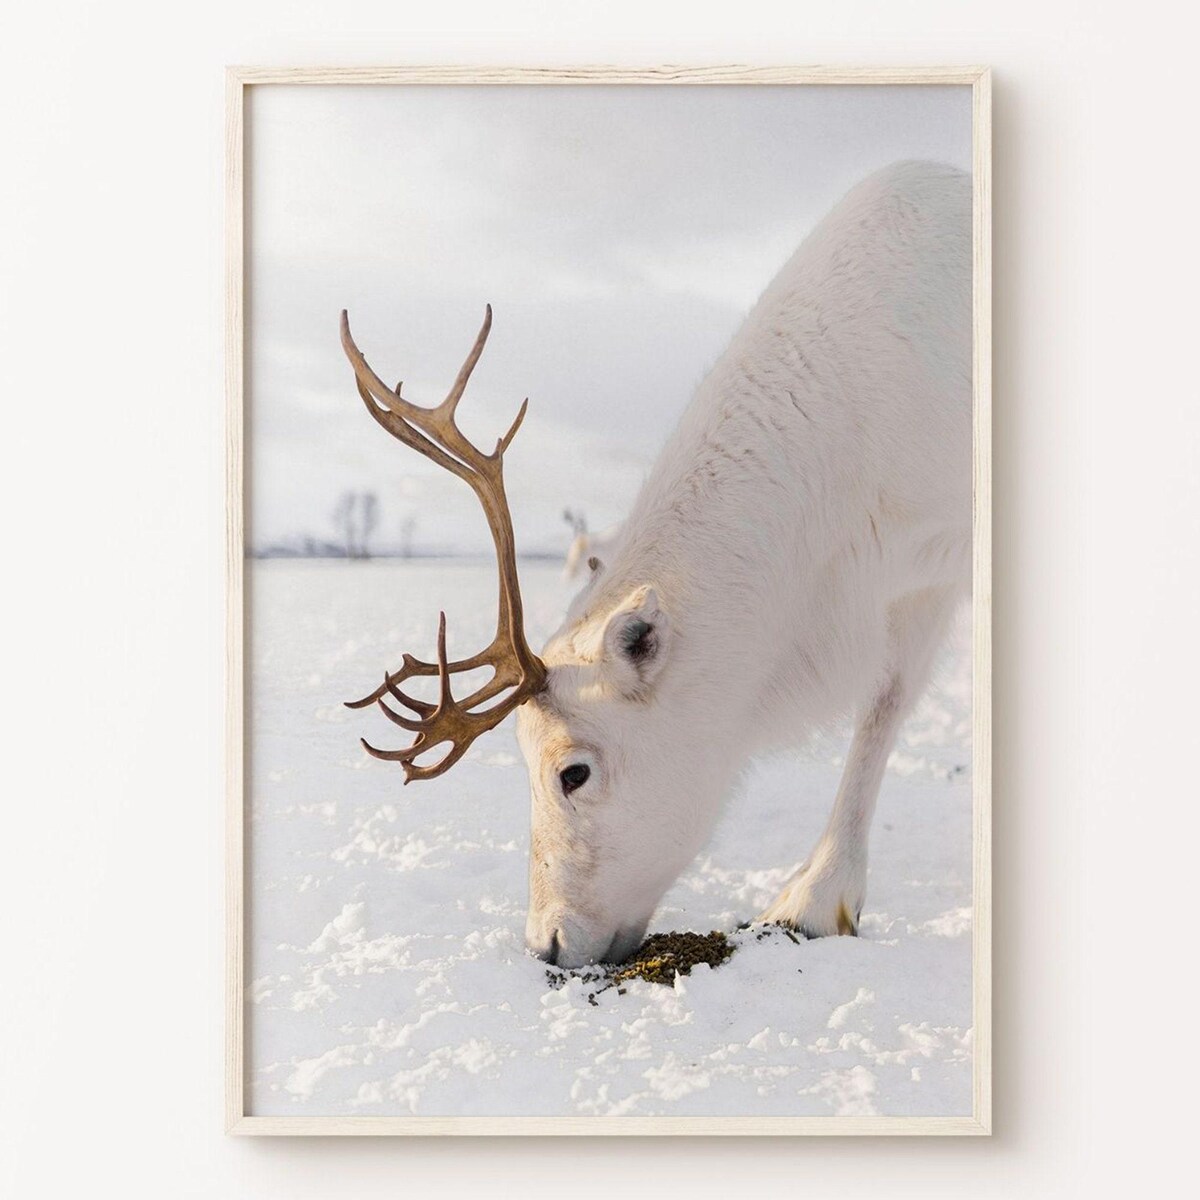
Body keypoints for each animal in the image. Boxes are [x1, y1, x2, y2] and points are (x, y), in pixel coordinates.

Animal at [340, 160, 972, 969]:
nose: (546, 945)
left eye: (573, 772)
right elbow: (885, 701)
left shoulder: (939, 555)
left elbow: (884, 707)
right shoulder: (908, 575)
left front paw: (816, 899)